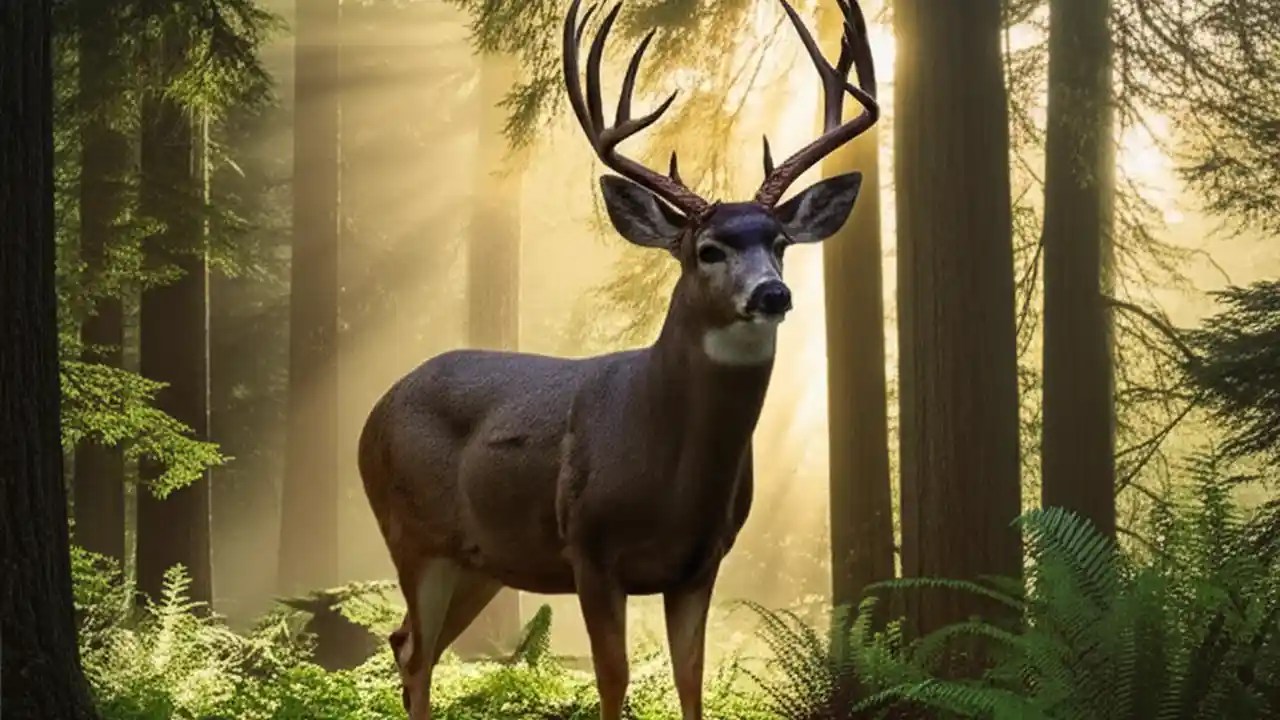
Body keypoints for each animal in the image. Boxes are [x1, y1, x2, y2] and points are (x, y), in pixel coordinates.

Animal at [358, 0, 878, 717]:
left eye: (779, 243)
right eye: (707, 249)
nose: (773, 293)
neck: (673, 475)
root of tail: (373, 413)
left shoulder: (700, 560)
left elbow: (691, 679)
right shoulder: (590, 548)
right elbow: (613, 679)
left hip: (483, 559)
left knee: (409, 641)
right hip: (411, 532)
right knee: (413, 651)